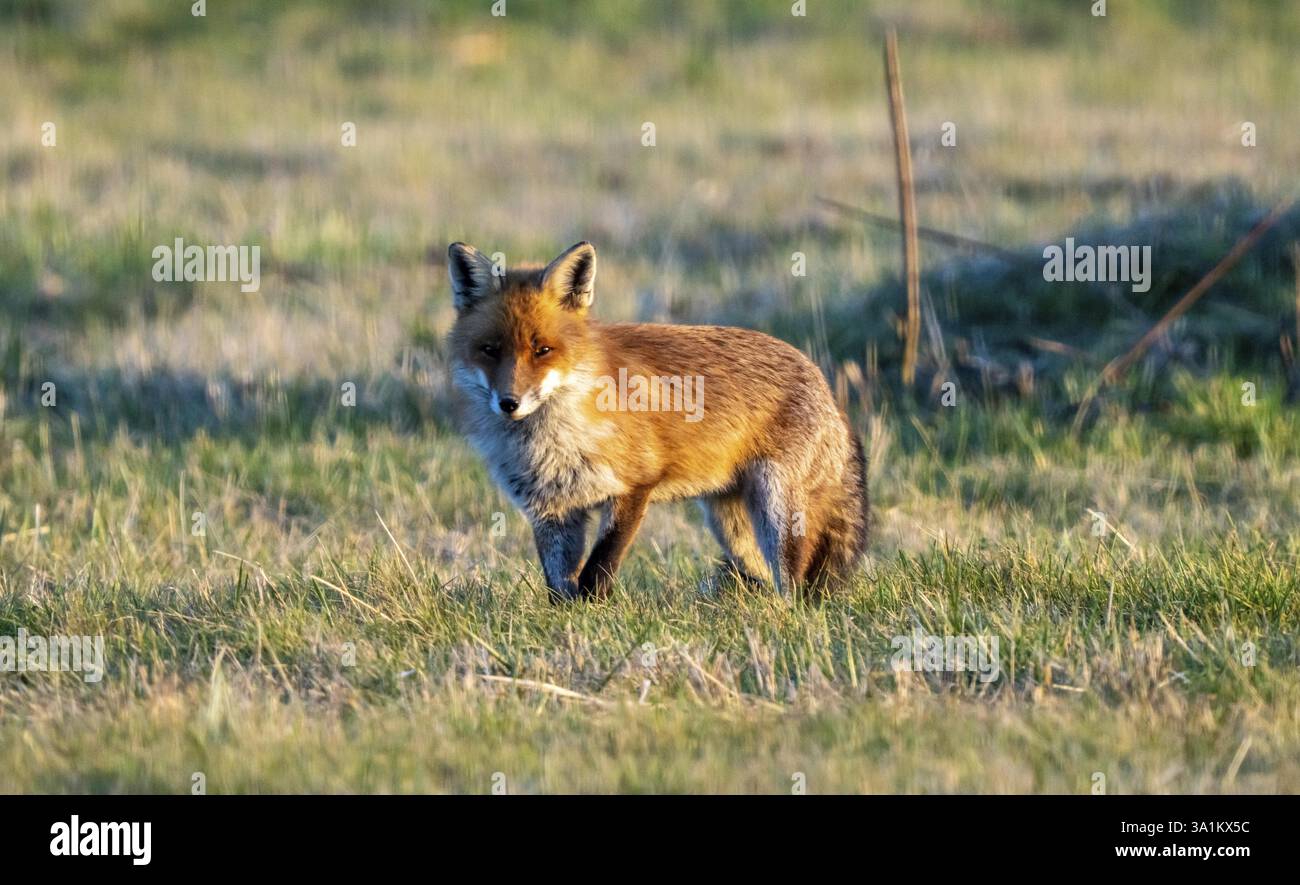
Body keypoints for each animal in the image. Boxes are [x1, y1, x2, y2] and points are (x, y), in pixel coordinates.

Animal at [446, 240, 869, 602]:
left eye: (543, 350)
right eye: (490, 350)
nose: (509, 403)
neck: (549, 442)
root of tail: (820, 377)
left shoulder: (635, 486)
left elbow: (597, 571)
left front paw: (594, 618)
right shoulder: (552, 510)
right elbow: (559, 587)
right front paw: (567, 625)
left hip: (778, 511)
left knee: (791, 584)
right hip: (729, 526)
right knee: (763, 575)